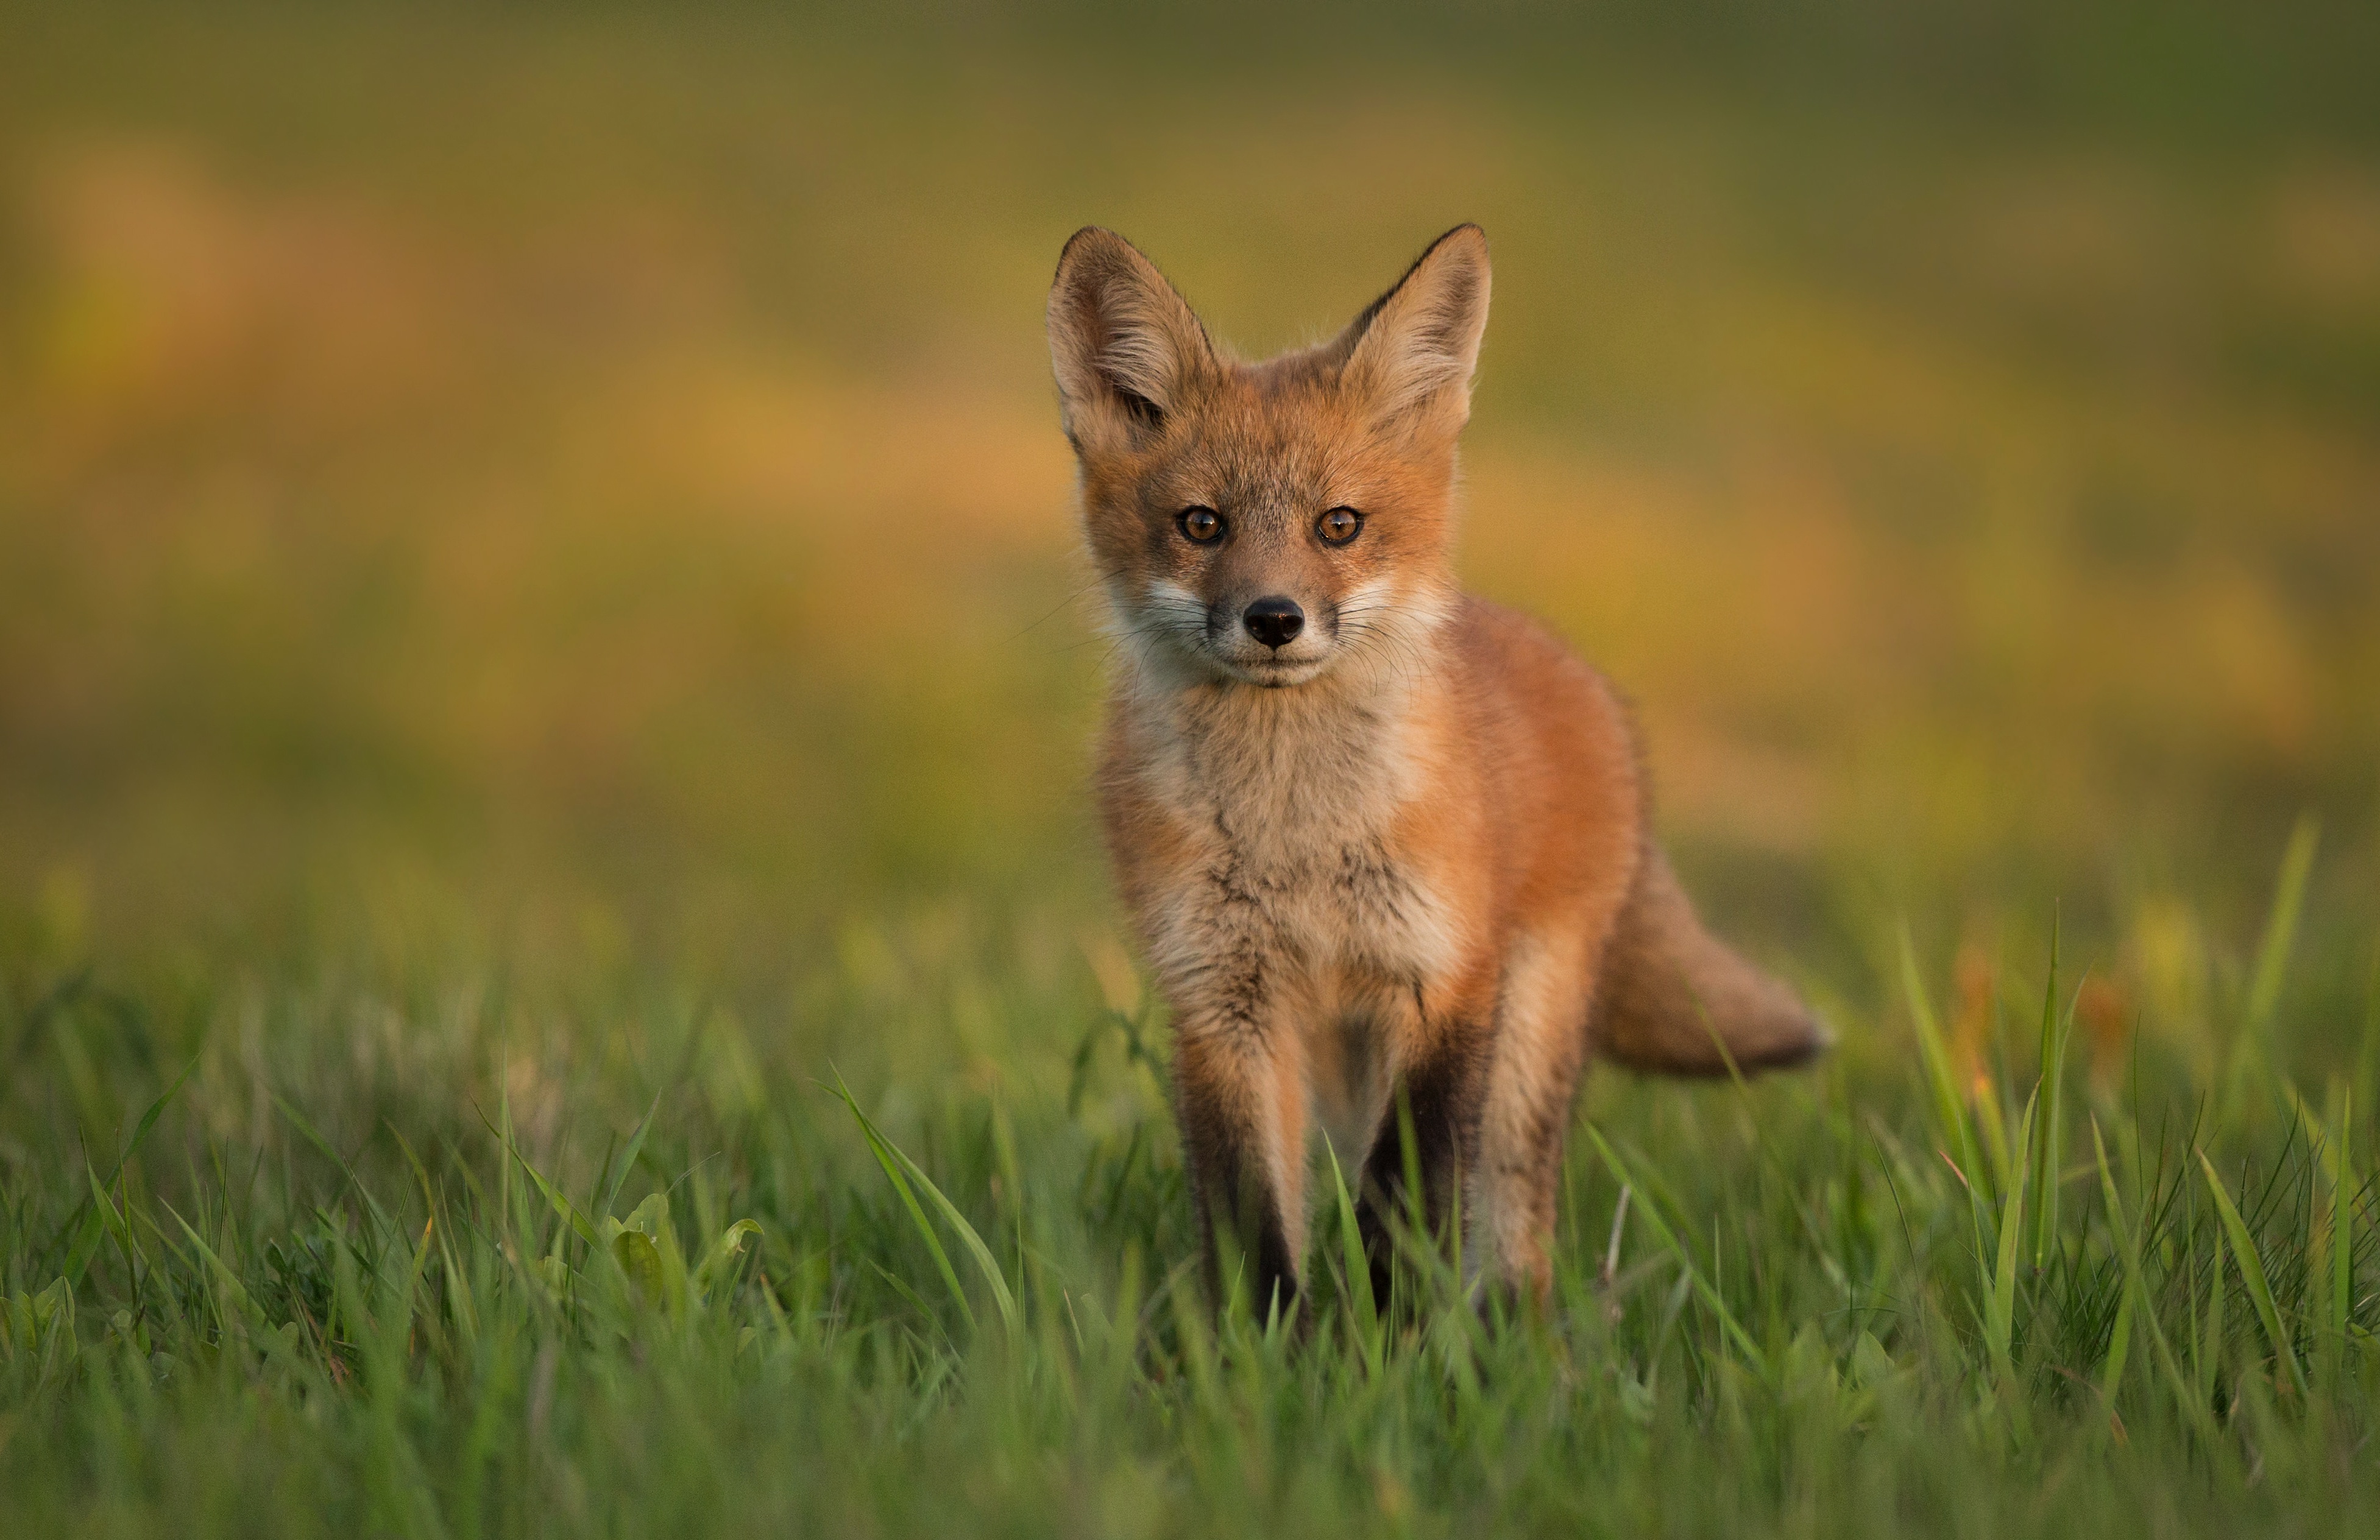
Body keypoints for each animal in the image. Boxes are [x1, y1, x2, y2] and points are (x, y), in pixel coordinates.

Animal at [1046, 224, 1826, 1314]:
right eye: (1202, 524)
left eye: (1338, 525)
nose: (1275, 619)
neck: (1297, 835)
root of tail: (1589, 688)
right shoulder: (1220, 1001)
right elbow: (1255, 1222)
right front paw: (1270, 1348)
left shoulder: (1441, 980)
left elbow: (1400, 1201)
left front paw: (1387, 1339)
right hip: (1337, 1060)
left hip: (1522, 1043)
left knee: (1511, 1224)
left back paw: (1511, 1333)